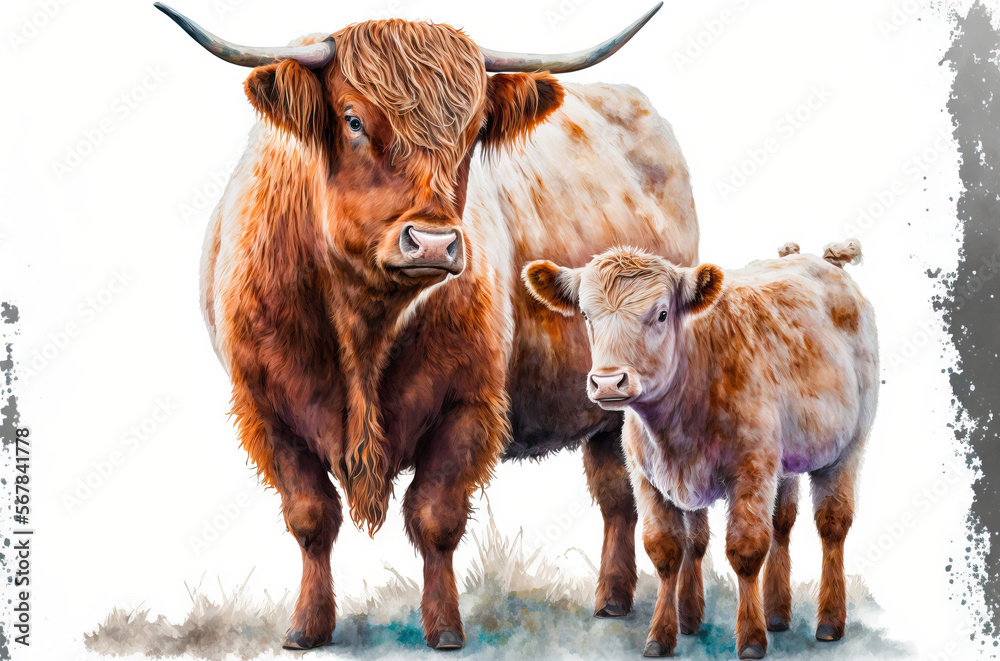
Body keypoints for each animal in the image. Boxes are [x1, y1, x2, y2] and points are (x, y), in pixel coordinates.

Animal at [155, 1, 701, 652]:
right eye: (353, 119)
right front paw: (307, 627)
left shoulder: (466, 403)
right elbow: (311, 516)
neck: (363, 324)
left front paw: (443, 628)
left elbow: (434, 517)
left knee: (628, 495)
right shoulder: (267, 408)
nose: (436, 242)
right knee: (616, 493)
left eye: (473, 131)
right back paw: (613, 600)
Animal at [522, 240, 879, 659]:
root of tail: (820, 258)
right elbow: (670, 549)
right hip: (786, 459)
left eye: (662, 313)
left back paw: (828, 621)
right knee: (782, 523)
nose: (608, 382)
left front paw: (751, 637)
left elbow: (745, 550)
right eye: (586, 314)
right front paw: (668, 631)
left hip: (848, 447)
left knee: (832, 526)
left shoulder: (751, 469)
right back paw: (775, 613)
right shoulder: (649, 477)